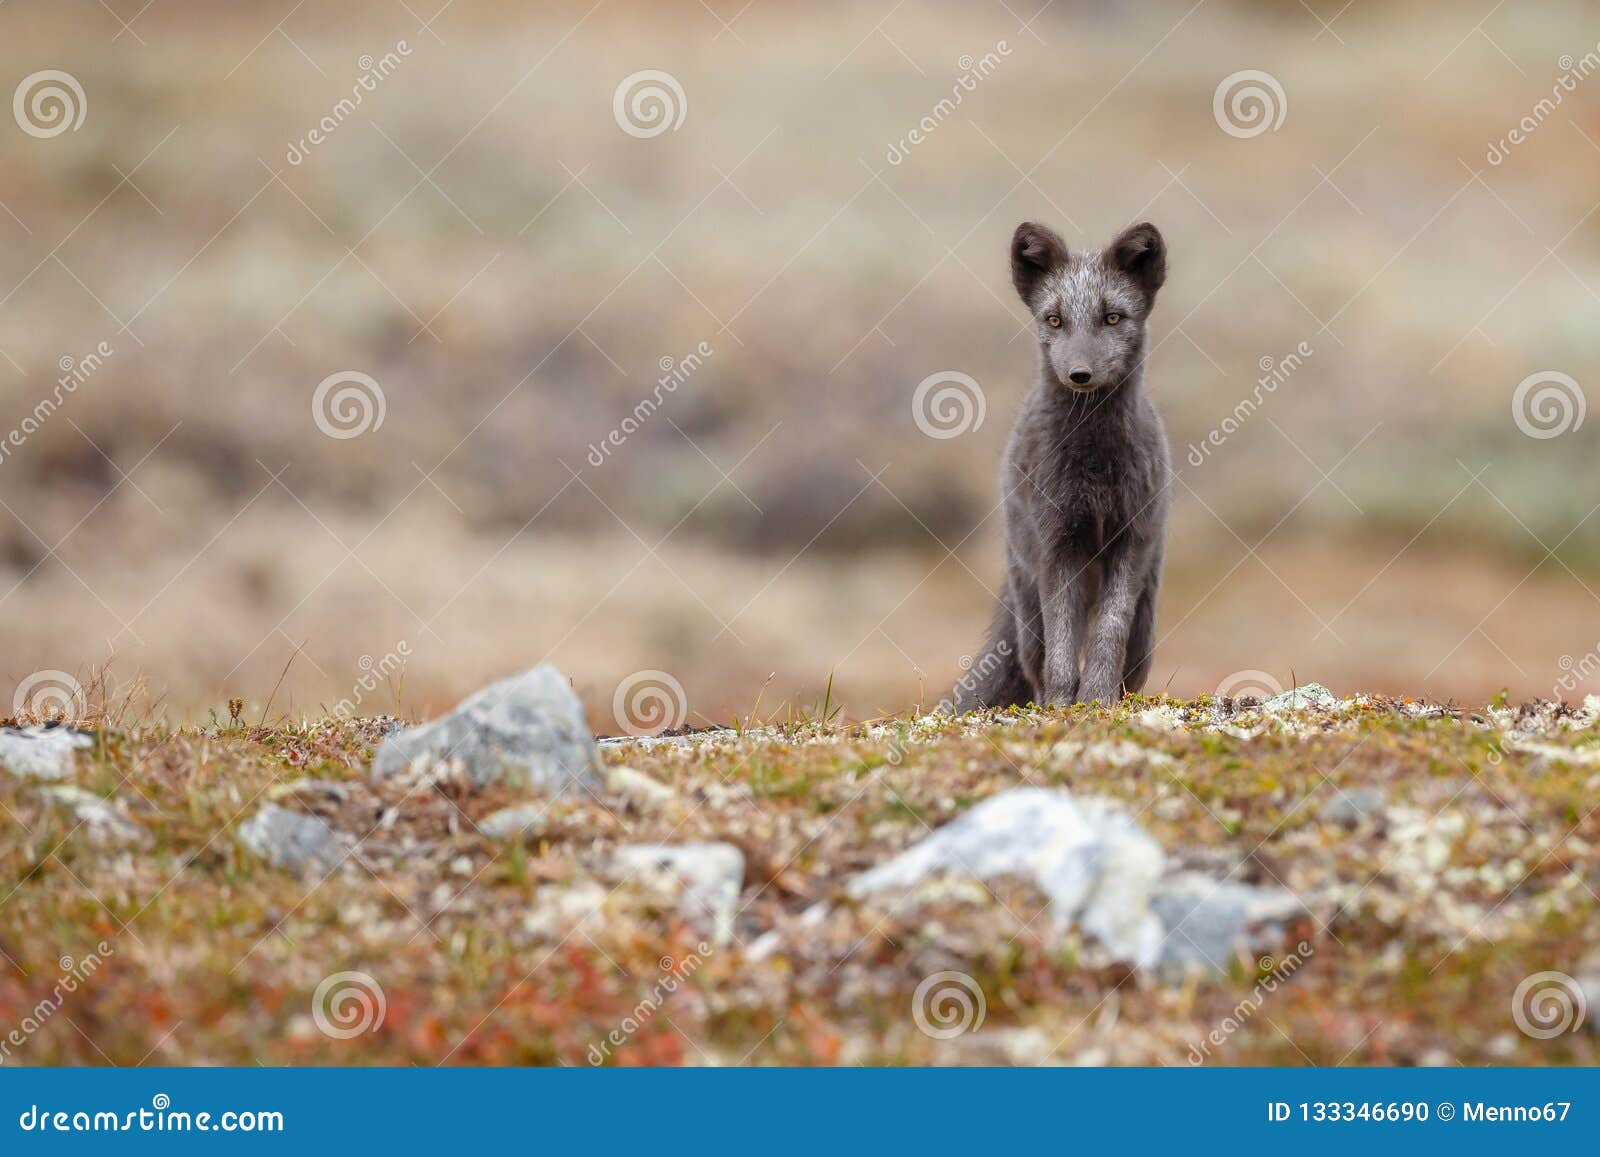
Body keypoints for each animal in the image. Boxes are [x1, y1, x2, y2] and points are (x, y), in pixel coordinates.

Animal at [952, 219, 1171, 710]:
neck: (1094, 467)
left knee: (1132, 667)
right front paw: (1061, 705)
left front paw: (1098, 700)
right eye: (1054, 319)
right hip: (1027, 595)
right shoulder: (1058, 543)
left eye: (1112, 318)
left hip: (1147, 627)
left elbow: (1108, 632)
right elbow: (1062, 647)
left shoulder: (1130, 540)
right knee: (1035, 661)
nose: (1079, 375)